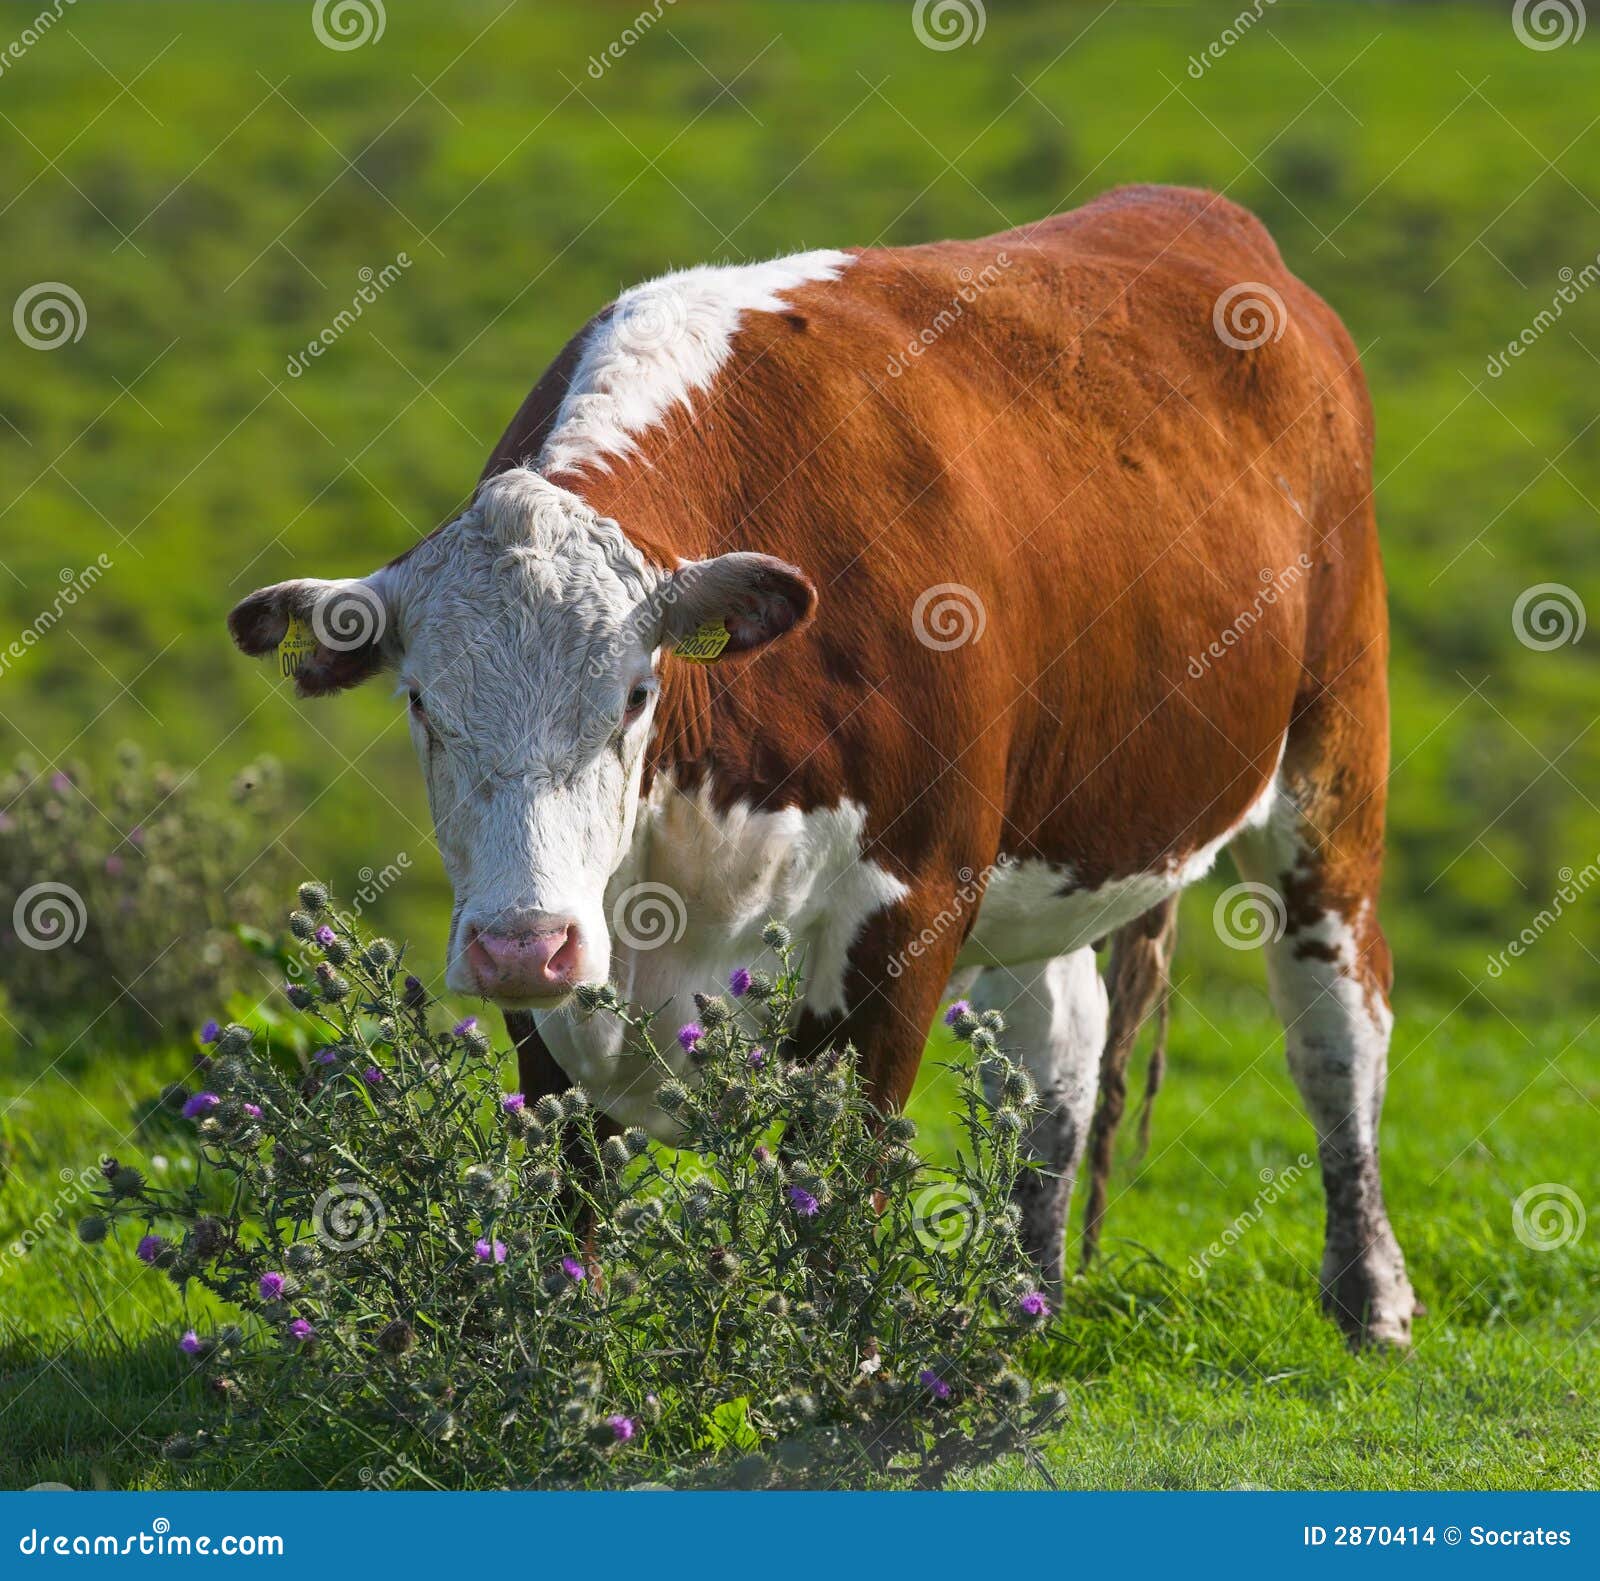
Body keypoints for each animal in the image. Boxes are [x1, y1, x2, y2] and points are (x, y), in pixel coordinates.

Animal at [229, 184, 1416, 1347]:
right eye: (422, 703)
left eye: (635, 694)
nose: (525, 942)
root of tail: (1209, 215)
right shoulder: (550, 962)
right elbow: (574, 1189)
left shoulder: (910, 904)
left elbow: (843, 1187)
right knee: (1060, 1045)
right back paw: (1025, 1300)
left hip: (1331, 757)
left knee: (1337, 1022)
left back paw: (1370, 1298)